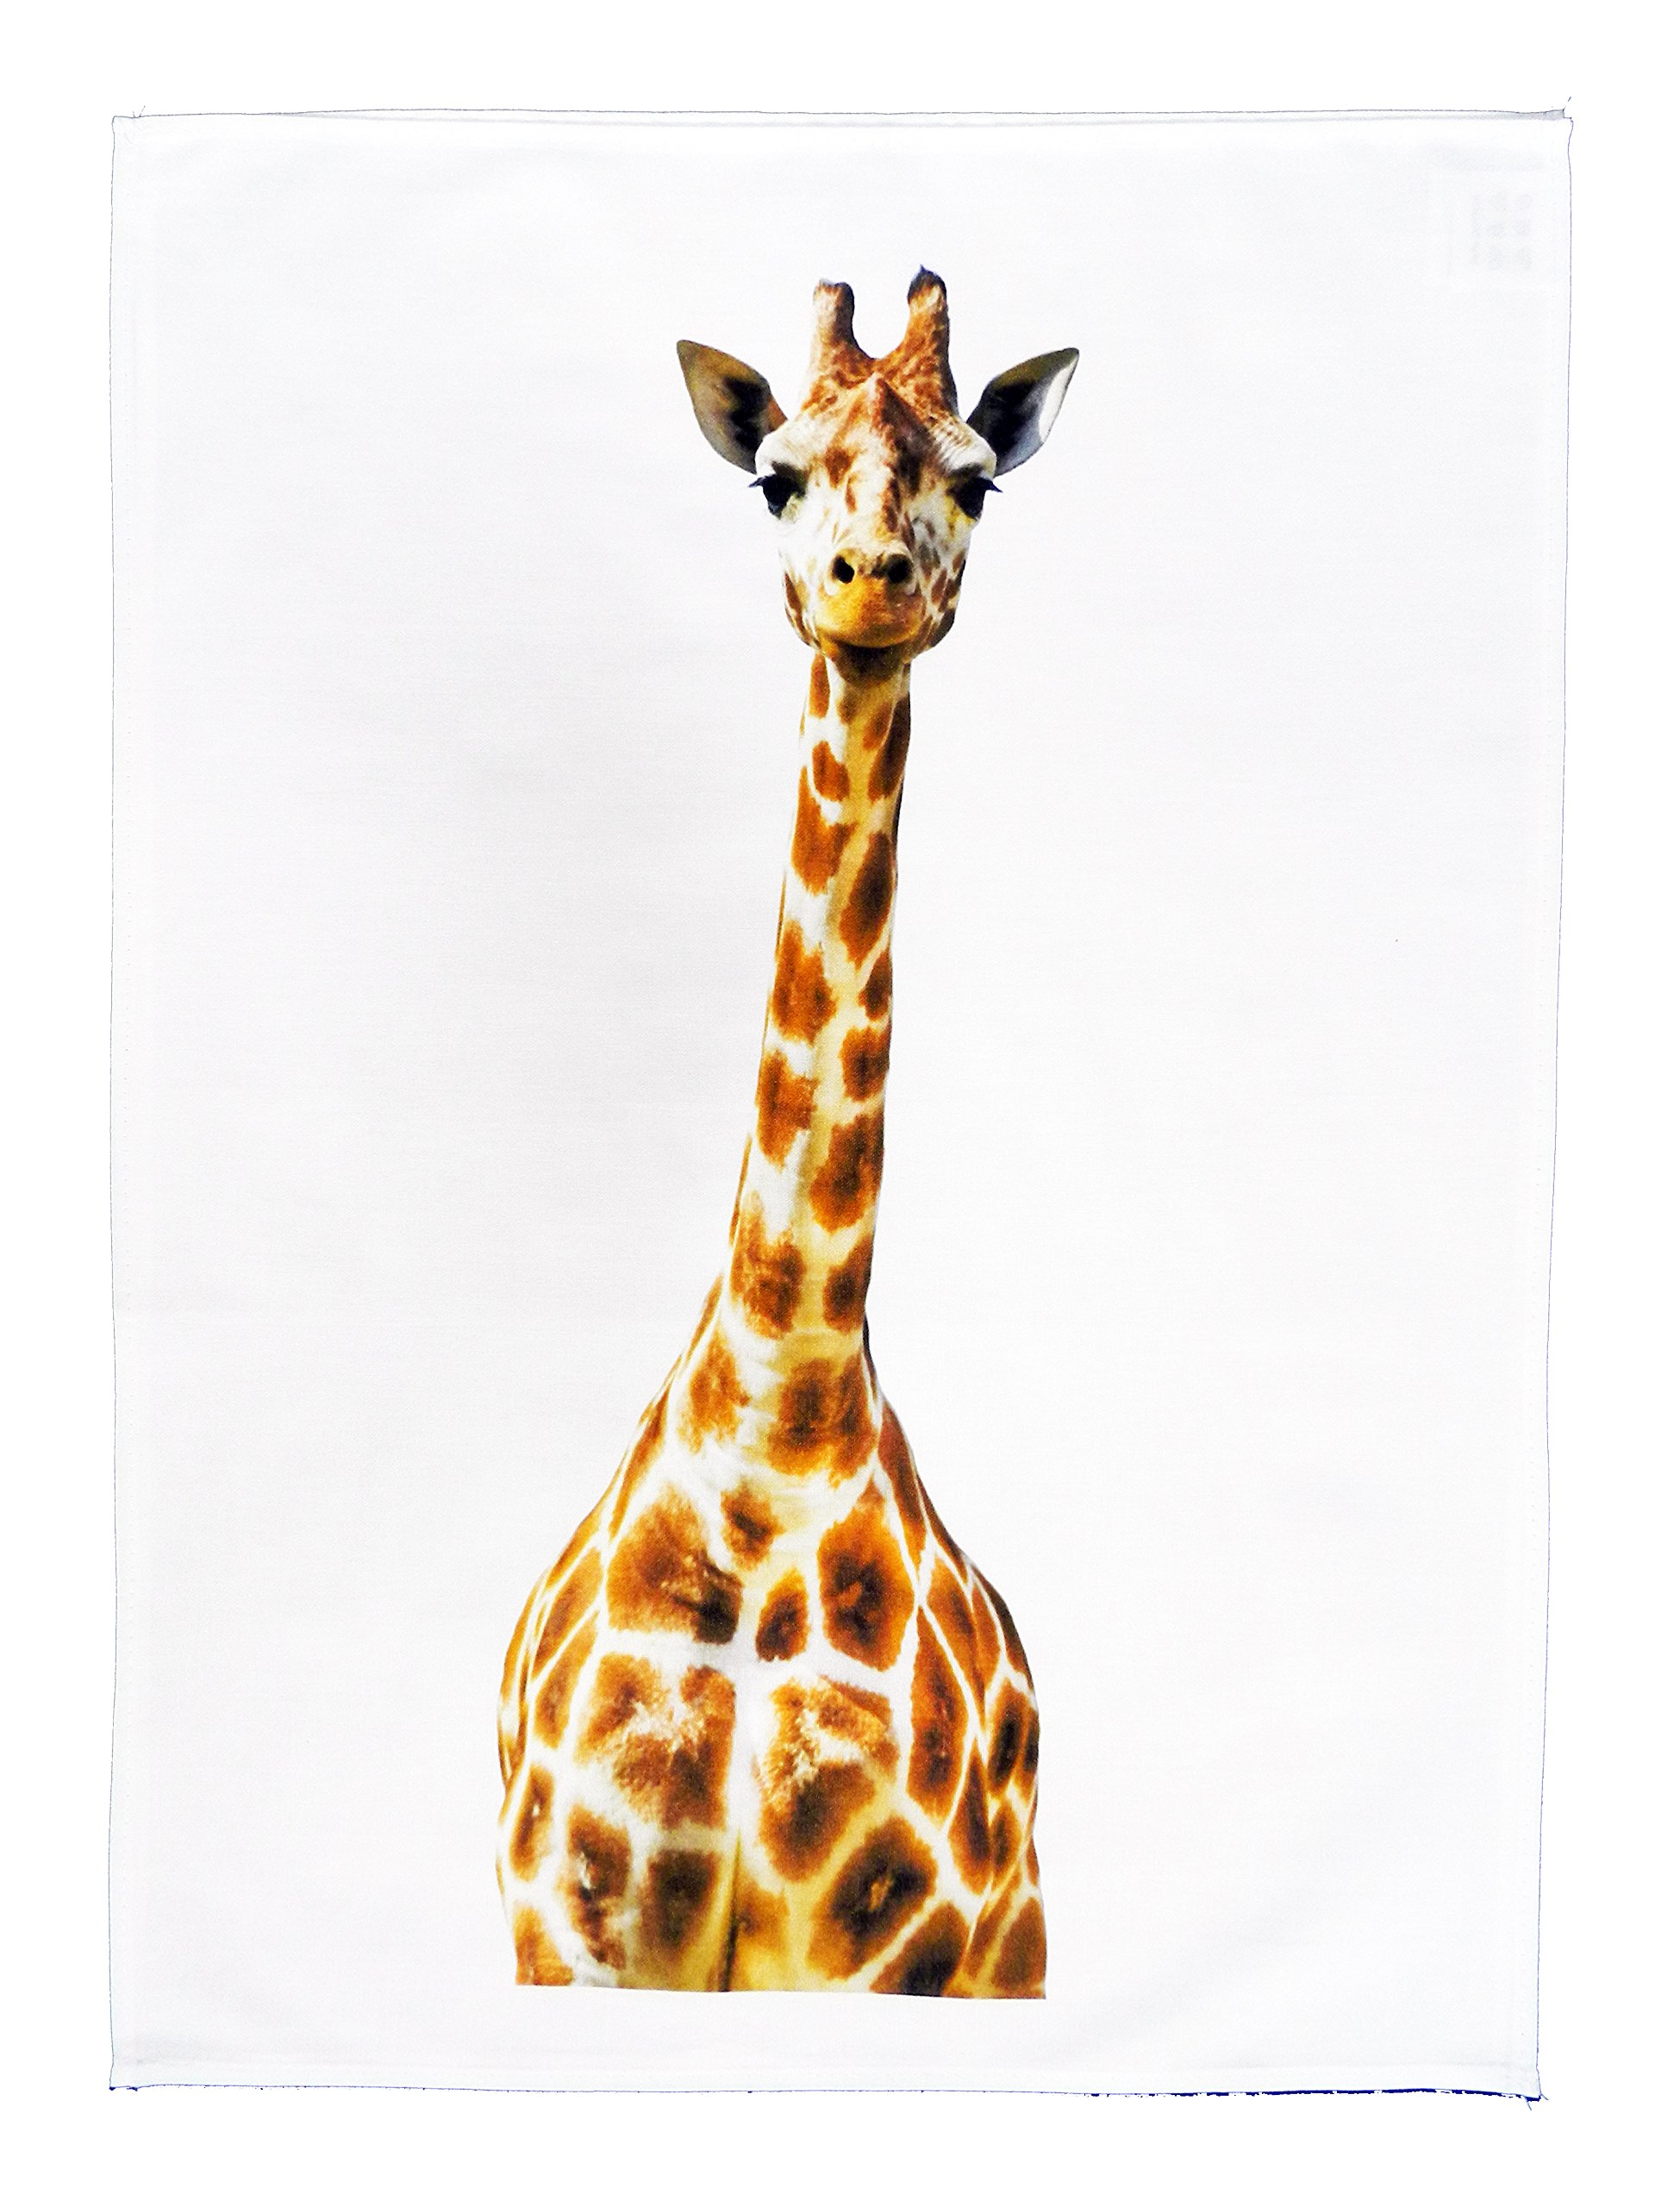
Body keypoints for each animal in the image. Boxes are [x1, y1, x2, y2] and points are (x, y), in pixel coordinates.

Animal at [497, 271, 1077, 1996]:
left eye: (977, 480)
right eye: (774, 475)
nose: (867, 584)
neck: (777, 1427)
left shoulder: (892, 1957)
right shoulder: (571, 1934)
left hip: (1018, 1955)